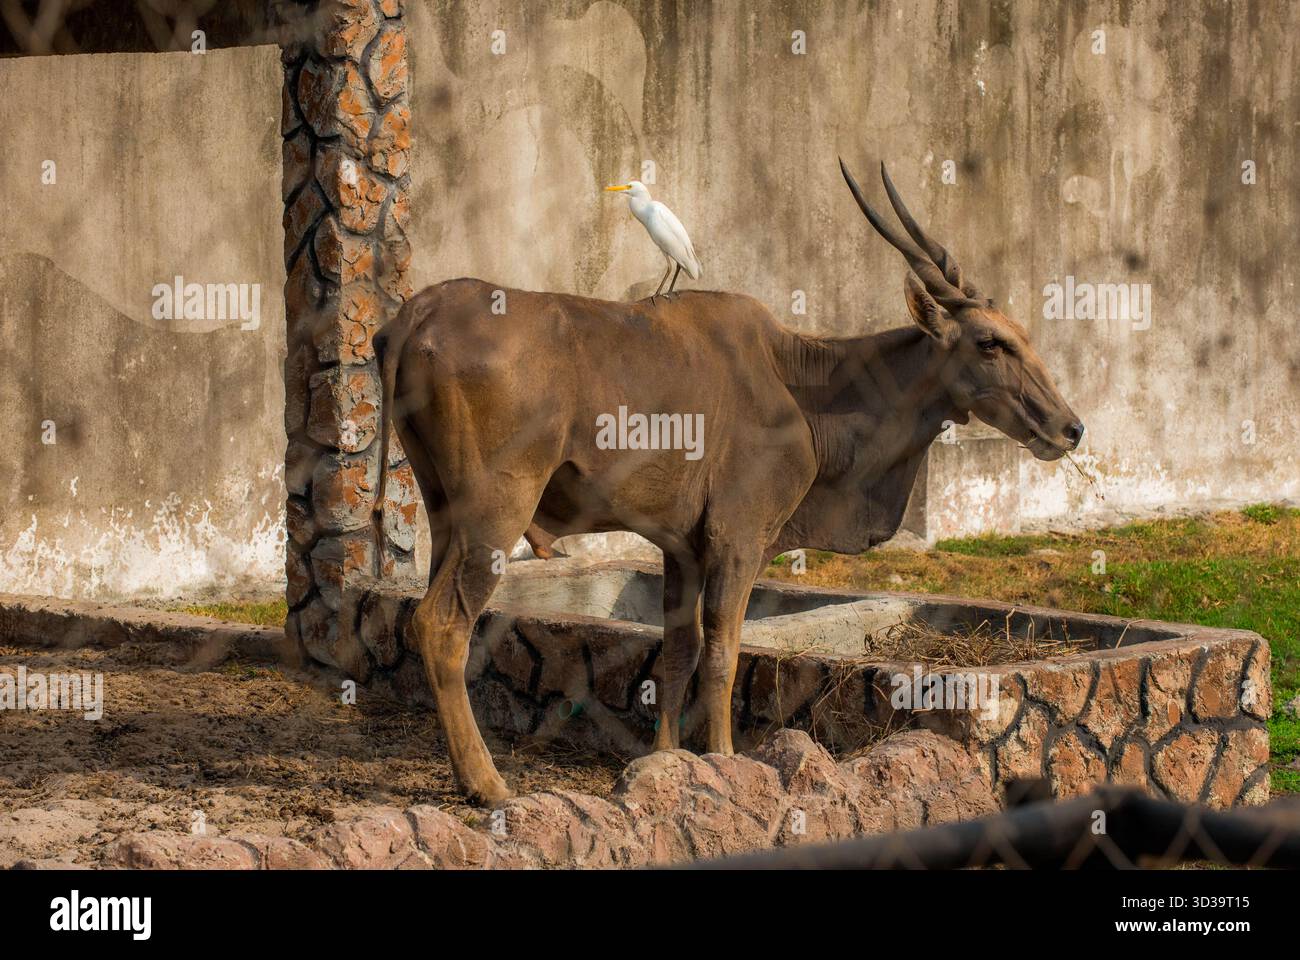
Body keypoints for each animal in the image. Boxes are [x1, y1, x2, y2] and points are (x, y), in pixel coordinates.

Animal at [373, 160, 1084, 805]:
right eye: (990, 342)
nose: (1070, 428)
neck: (801, 380)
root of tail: (413, 318)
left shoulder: (682, 549)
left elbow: (678, 651)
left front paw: (664, 763)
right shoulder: (738, 540)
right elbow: (723, 654)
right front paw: (724, 760)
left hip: (442, 511)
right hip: (497, 513)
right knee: (440, 624)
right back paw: (488, 785)